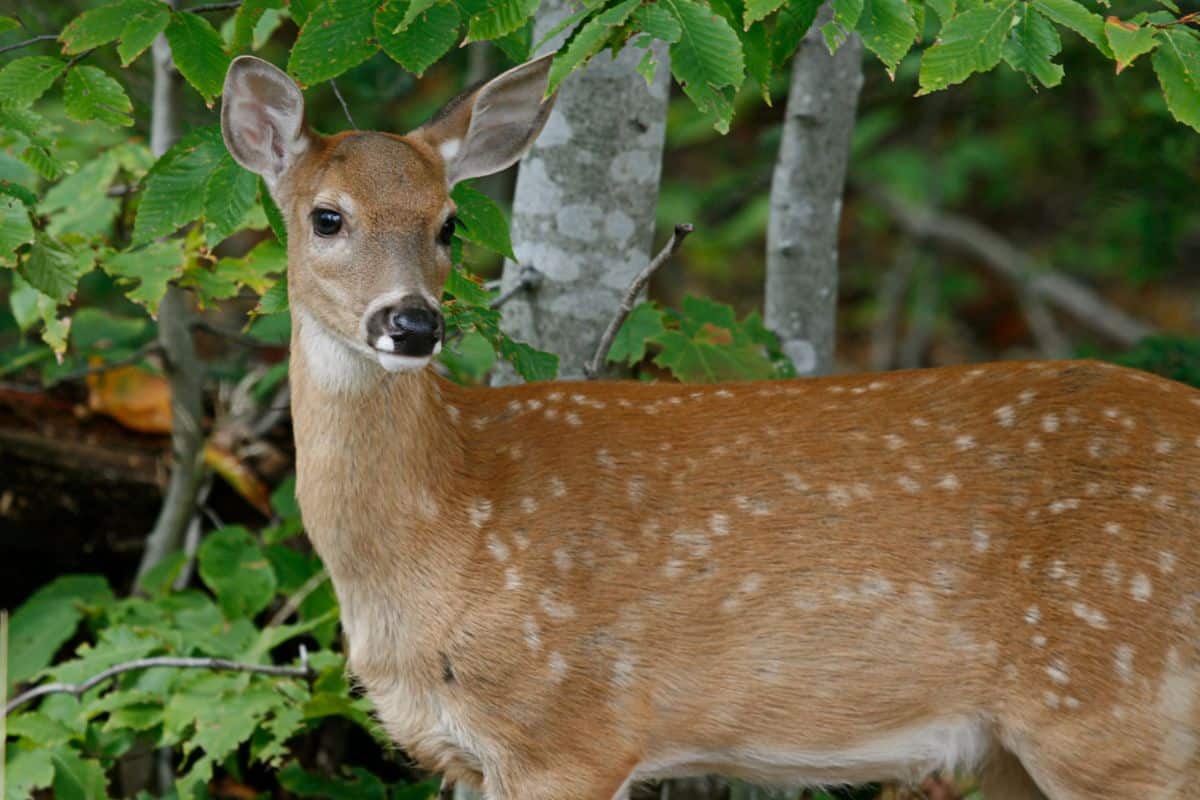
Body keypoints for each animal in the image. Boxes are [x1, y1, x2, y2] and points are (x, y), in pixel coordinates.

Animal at [220, 53, 1200, 800]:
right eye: (327, 217)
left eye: (449, 224)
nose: (412, 324)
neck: (447, 524)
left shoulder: (569, 727)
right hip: (1023, 753)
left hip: (1112, 714)